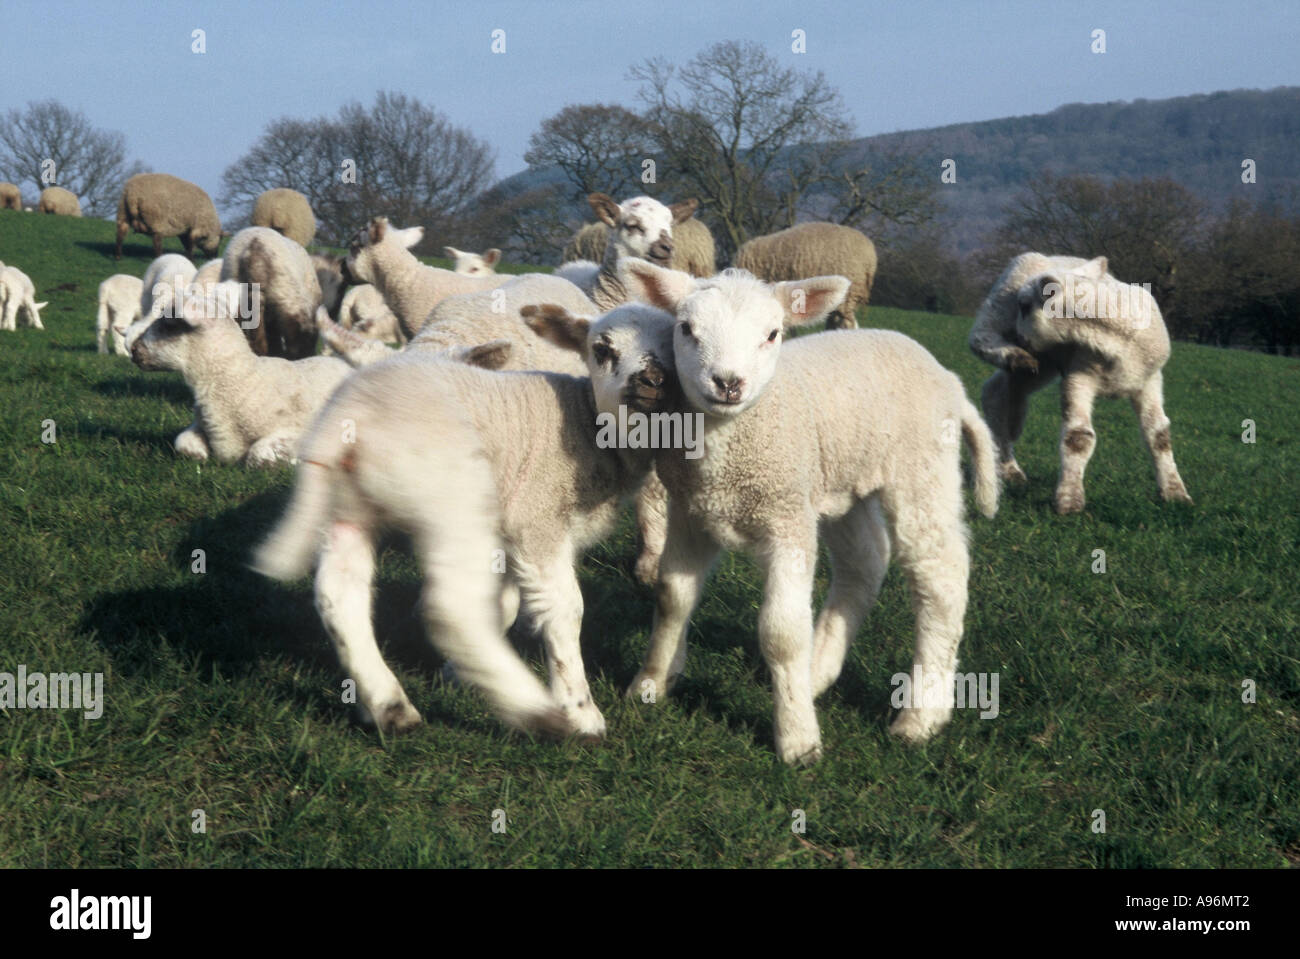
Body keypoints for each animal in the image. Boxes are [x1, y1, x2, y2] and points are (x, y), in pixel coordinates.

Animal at [129, 281, 350, 467]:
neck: (240, 379)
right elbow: (182, 443)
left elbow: (258, 455)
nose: (133, 349)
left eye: (170, 325)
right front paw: (199, 455)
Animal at [252, 301, 679, 738]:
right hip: (455, 501)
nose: (652, 381)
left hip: (349, 504)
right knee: (449, 608)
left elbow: (503, 604)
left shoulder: (510, 530)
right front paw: (580, 711)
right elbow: (565, 610)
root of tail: (350, 411)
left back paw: (389, 707)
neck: (588, 424)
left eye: (676, 346)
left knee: (339, 594)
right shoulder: (538, 519)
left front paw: (458, 672)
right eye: (602, 349)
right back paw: (539, 713)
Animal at [574, 259, 999, 765]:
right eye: (686, 329)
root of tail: (948, 378)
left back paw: (920, 717)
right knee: (864, 564)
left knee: (941, 577)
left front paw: (798, 741)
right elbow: (672, 598)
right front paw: (650, 685)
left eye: (773, 333)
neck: (728, 451)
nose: (728, 382)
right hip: (842, 481)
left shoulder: (787, 518)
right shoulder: (692, 513)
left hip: (921, 470)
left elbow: (782, 633)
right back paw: (814, 677)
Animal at [970, 251, 1192, 514]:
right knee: (981, 337)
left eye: (1024, 306)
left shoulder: (1149, 380)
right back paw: (1014, 357)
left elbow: (1159, 436)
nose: (1020, 338)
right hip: (1002, 299)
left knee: (998, 391)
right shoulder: (1080, 373)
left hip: (1044, 363)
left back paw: (1007, 466)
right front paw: (1069, 500)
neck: (1116, 337)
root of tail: (1058, 256)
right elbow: (1078, 437)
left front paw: (1175, 493)